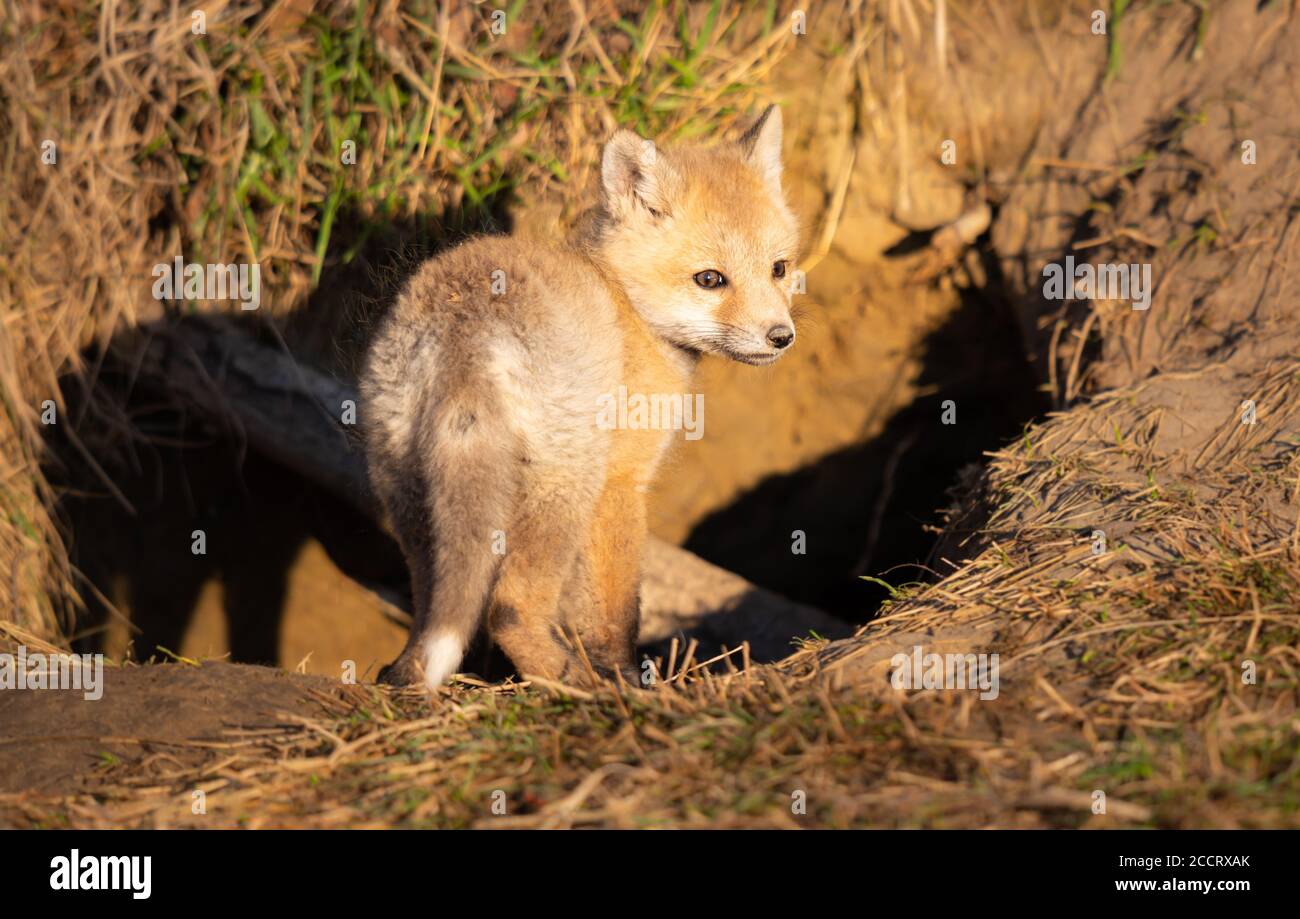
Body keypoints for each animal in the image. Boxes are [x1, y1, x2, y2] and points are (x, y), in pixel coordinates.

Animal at [360, 105, 799, 689]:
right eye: (710, 279)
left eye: (779, 268)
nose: (781, 337)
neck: (625, 303)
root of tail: (466, 329)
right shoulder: (620, 484)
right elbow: (617, 610)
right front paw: (626, 677)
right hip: (564, 489)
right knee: (508, 609)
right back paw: (577, 684)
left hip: (410, 492)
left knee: (432, 609)